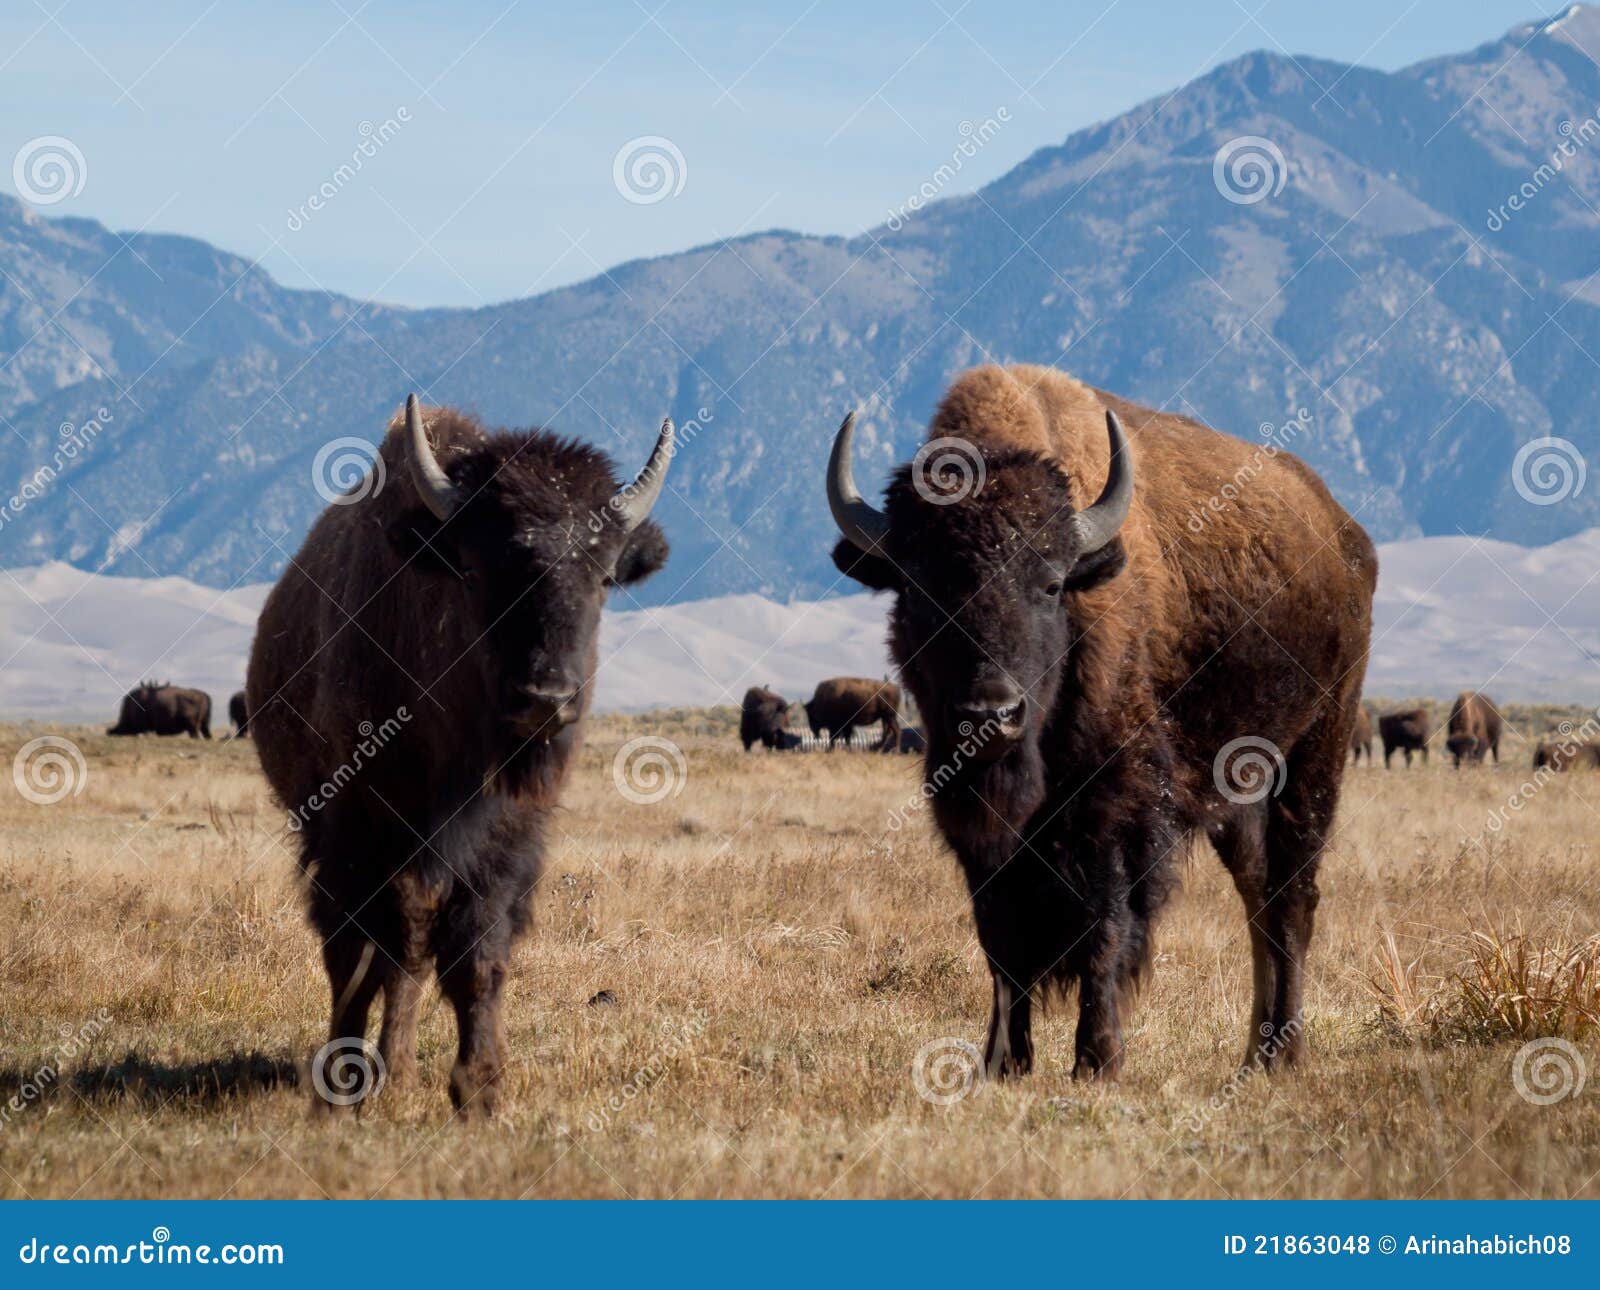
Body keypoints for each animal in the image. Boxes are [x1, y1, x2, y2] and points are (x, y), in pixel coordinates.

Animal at [247, 396, 670, 1115]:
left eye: (602, 576)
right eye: (476, 568)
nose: (544, 697)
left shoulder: (510, 835)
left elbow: (480, 949)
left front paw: (479, 1089)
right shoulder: (364, 827)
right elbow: (380, 949)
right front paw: (368, 1083)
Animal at [826, 363, 1375, 1078]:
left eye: (1051, 584)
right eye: (919, 588)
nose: (991, 715)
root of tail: (1343, 535)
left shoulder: (1118, 808)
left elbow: (1105, 920)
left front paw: (1098, 1059)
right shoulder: (976, 821)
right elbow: (1000, 933)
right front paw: (1003, 1062)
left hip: (1315, 752)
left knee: (1292, 900)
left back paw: (1284, 1055)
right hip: (1241, 788)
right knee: (1258, 894)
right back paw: (1254, 1056)